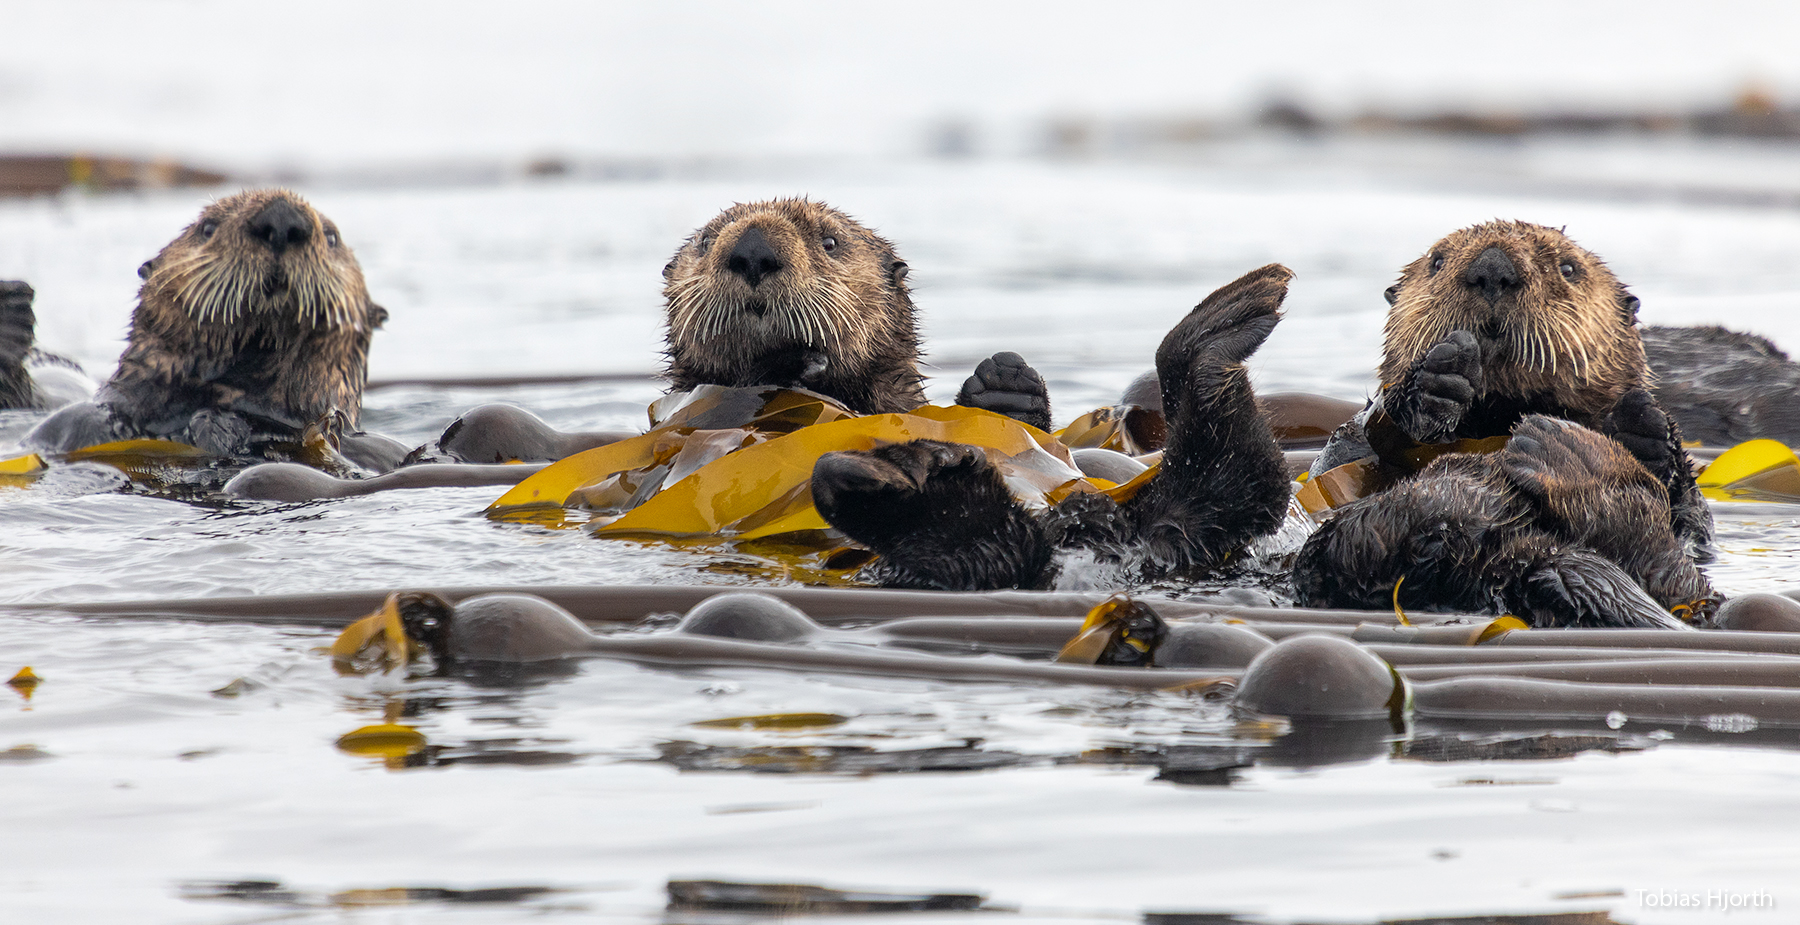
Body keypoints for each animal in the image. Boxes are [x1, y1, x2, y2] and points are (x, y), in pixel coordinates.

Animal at [1312, 220, 1711, 555]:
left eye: (1569, 268)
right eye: (1437, 261)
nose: (1492, 269)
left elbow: (1694, 526)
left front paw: (1643, 431)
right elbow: (1339, 456)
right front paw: (1434, 387)